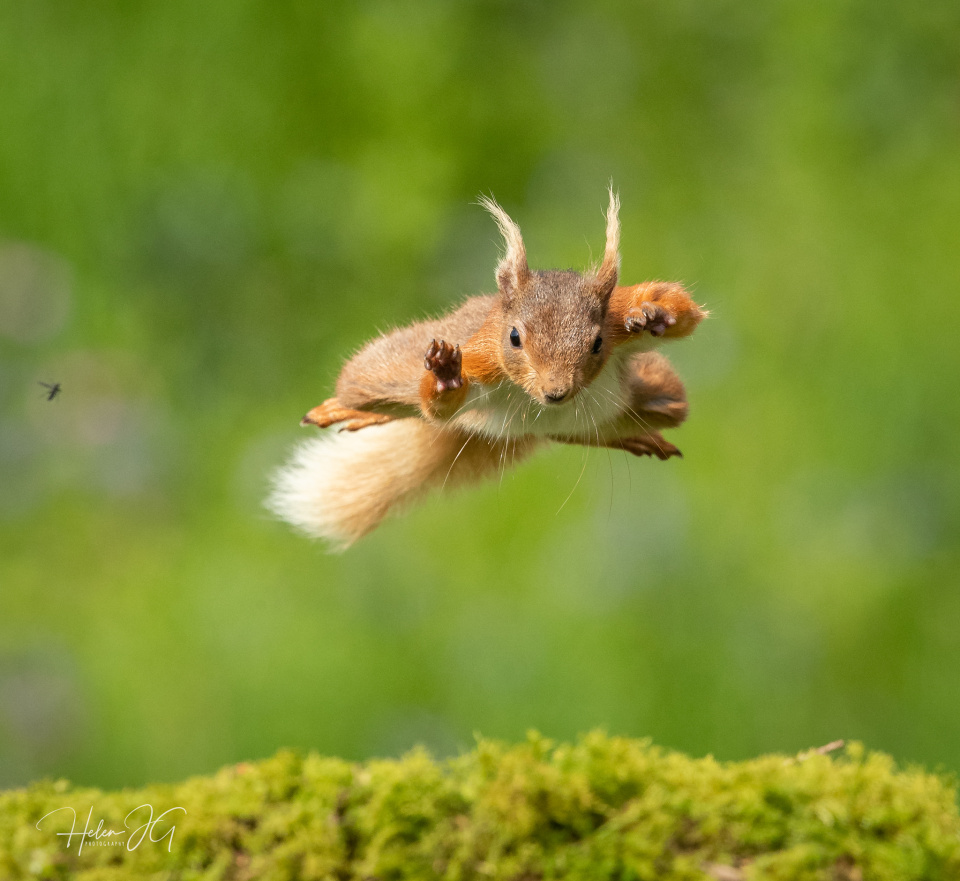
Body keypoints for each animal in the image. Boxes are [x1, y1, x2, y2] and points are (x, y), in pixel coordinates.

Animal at [268, 188, 706, 549]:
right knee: (387, 396)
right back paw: (348, 410)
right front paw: (446, 377)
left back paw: (640, 438)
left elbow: (683, 309)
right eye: (513, 338)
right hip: (381, 372)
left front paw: (653, 313)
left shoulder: (616, 320)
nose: (556, 393)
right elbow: (434, 405)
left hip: (653, 396)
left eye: (597, 343)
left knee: (597, 428)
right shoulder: (482, 359)